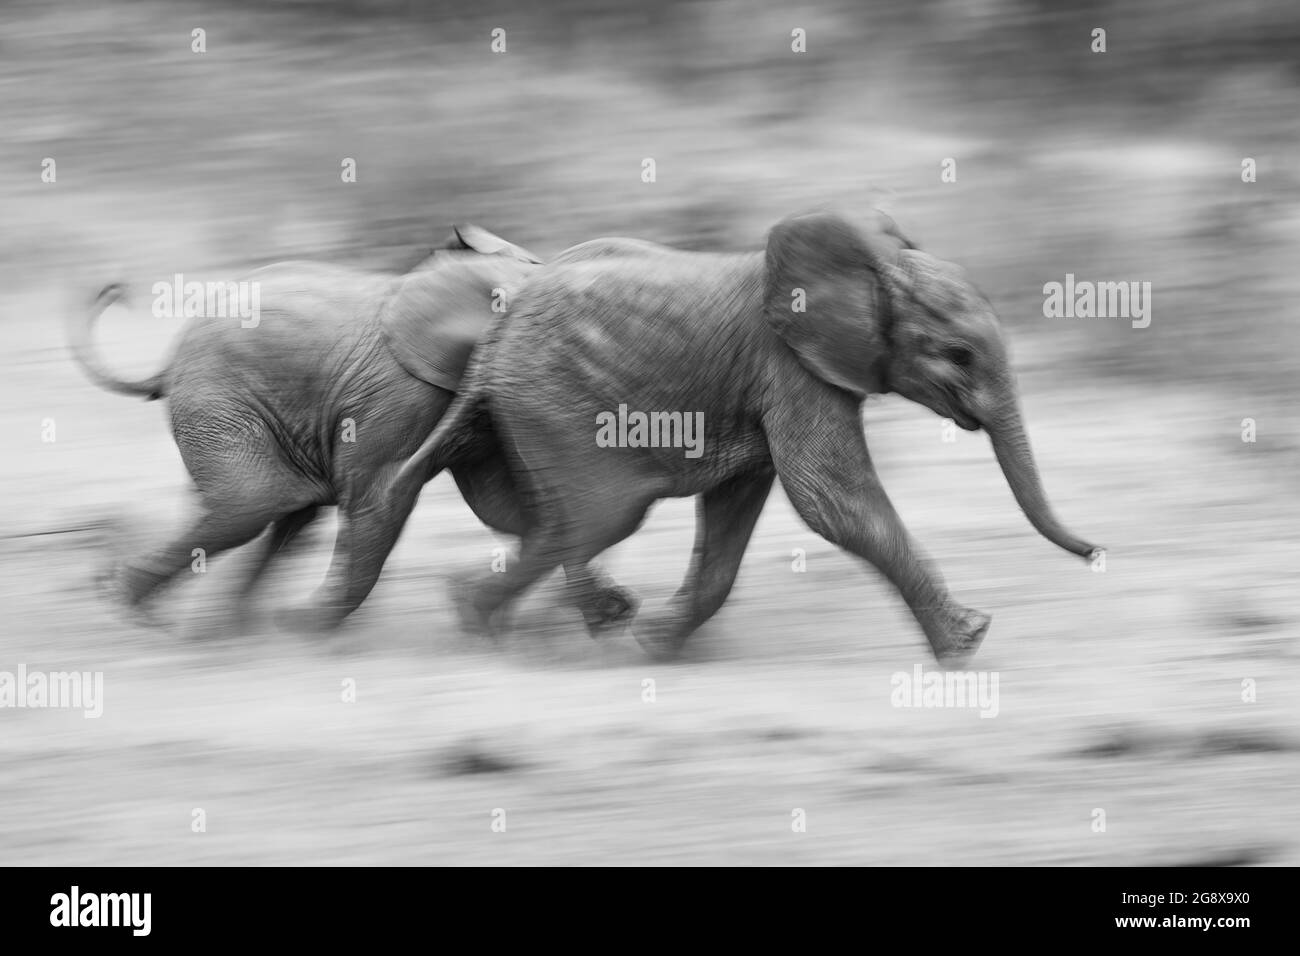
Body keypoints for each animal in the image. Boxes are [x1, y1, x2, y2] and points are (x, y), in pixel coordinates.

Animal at [68, 225, 637, 633]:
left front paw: (611, 613)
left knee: (279, 514)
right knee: (252, 504)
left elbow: (510, 504)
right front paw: (305, 627)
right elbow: (379, 498)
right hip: (219, 402)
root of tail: (168, 361)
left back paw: (225, 628)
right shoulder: (403, 394)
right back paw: (138, 610)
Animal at [394, 210, 1102, 662]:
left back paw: (542, 620)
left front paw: (658, 644)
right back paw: (487, 623)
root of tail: (497, 331)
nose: (1098, 551)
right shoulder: (789, 366)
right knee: (601, 517)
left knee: (567, 522)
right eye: (957, 355)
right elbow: (829, 499)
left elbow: (735, 512)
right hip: (554, 400)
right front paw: (969, 642)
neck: (870, 262)